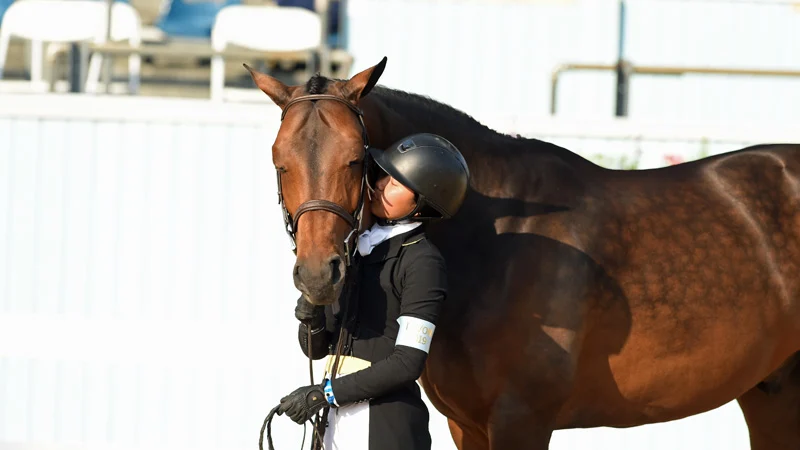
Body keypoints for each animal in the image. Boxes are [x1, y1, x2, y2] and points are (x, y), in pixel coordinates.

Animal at [245, 57, 800, 449]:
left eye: (356, 159)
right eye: (278, 161)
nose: (319, 275)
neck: (495, 247)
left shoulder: (522, 422)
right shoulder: (468, 426)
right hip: (771, 394)